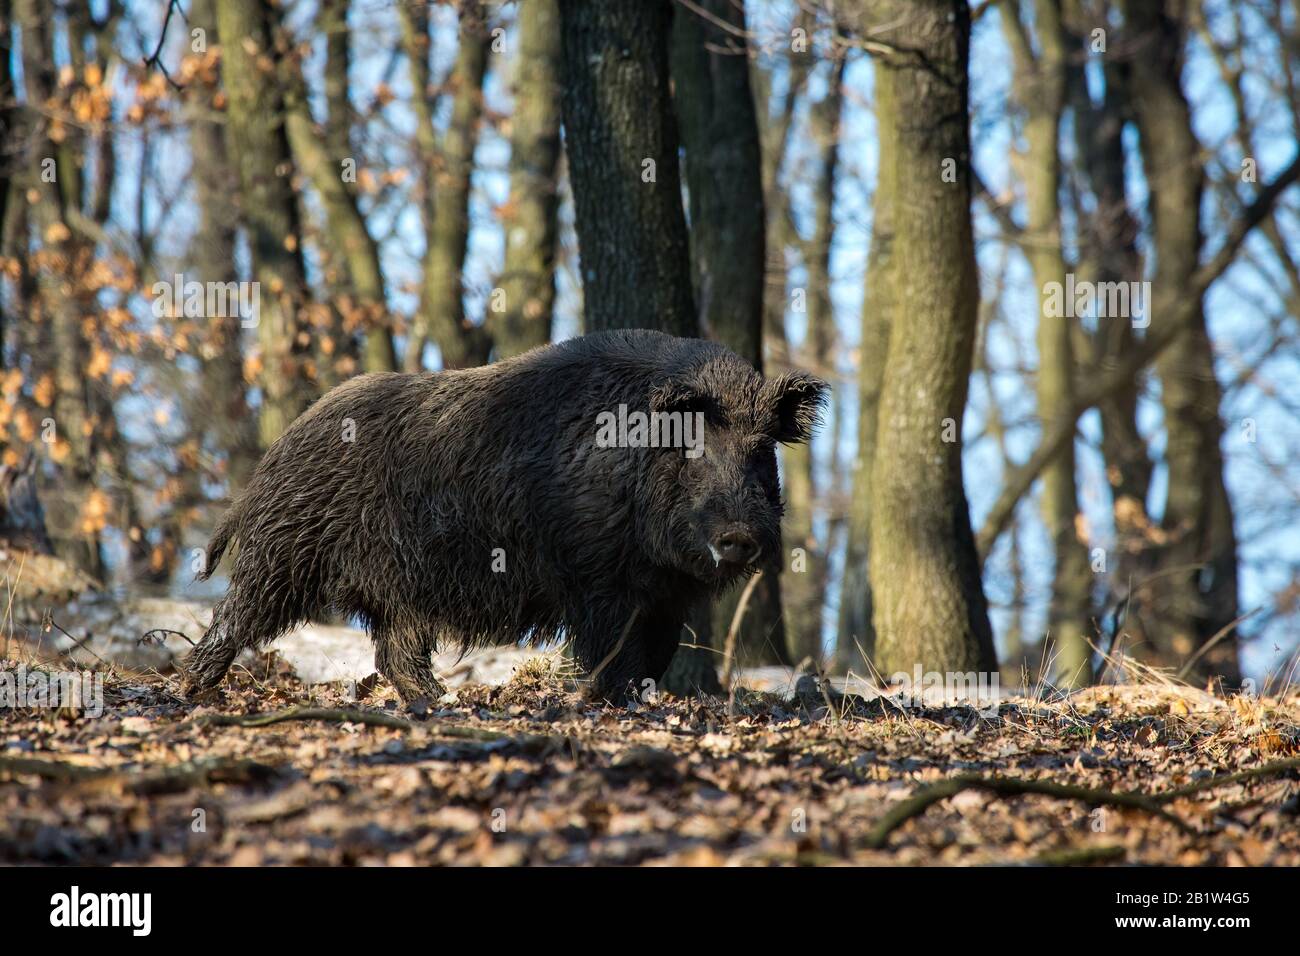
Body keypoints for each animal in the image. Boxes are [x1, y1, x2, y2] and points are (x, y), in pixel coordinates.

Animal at [181, 329, 827, 706]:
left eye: (761, 451)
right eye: (695, 451)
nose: (739, 537)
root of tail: (271, 461)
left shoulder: (667, 594)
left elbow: (658, 650)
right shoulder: (596, 576)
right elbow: (612, 647)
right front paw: (614, 704)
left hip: (400, 586)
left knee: (394, 651)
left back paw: (437, 703)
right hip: (286, 552)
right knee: (233, 616)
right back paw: (191, 689)